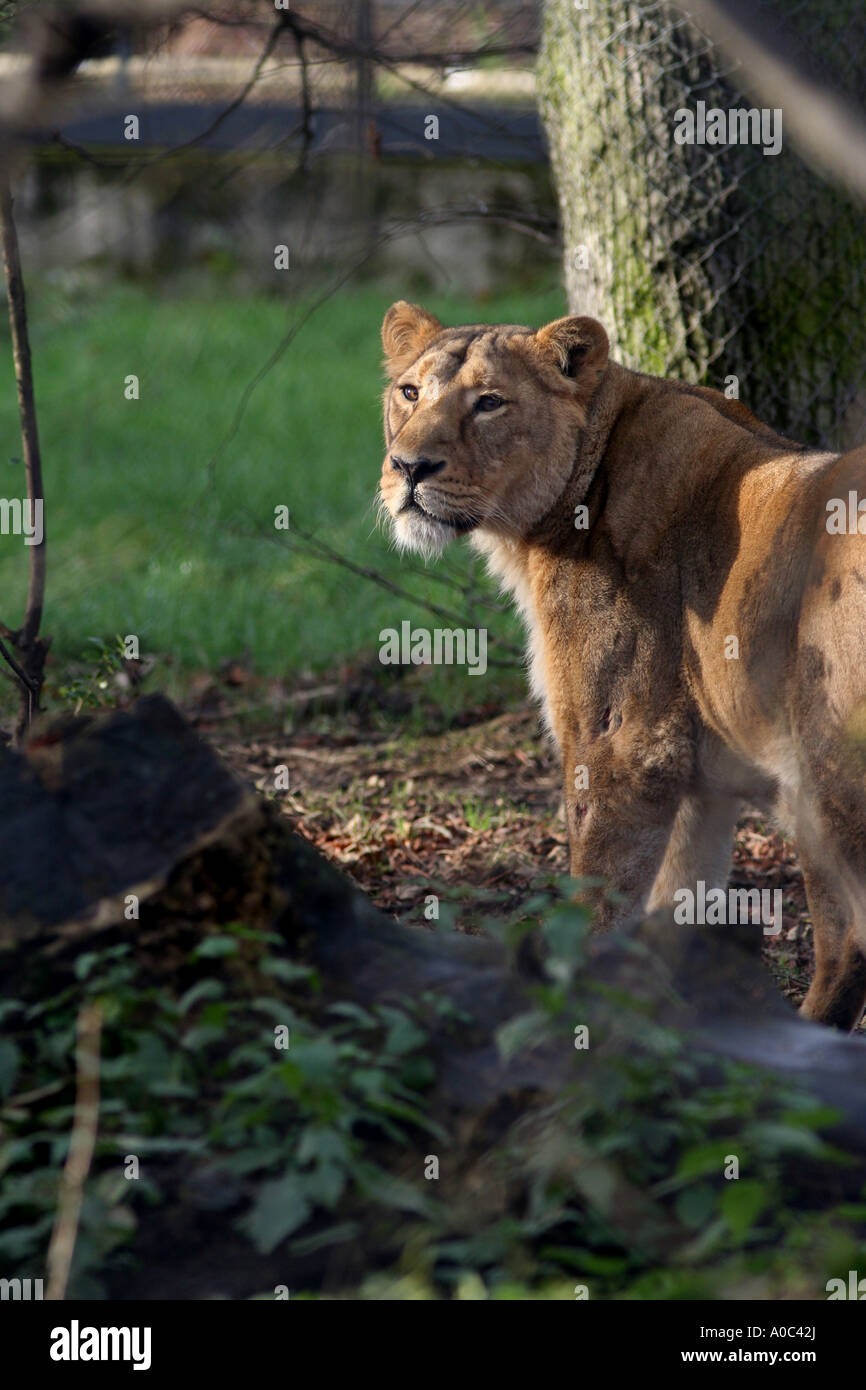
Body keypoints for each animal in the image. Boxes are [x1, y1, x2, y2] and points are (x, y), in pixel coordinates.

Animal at [378, 300, 866, 1031]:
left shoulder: (624, 746)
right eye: (409, 393)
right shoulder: (698, 778)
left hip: (830, 775)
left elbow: (601, 904)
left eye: (490, 402)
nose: (409, 468)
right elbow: (674, 906)